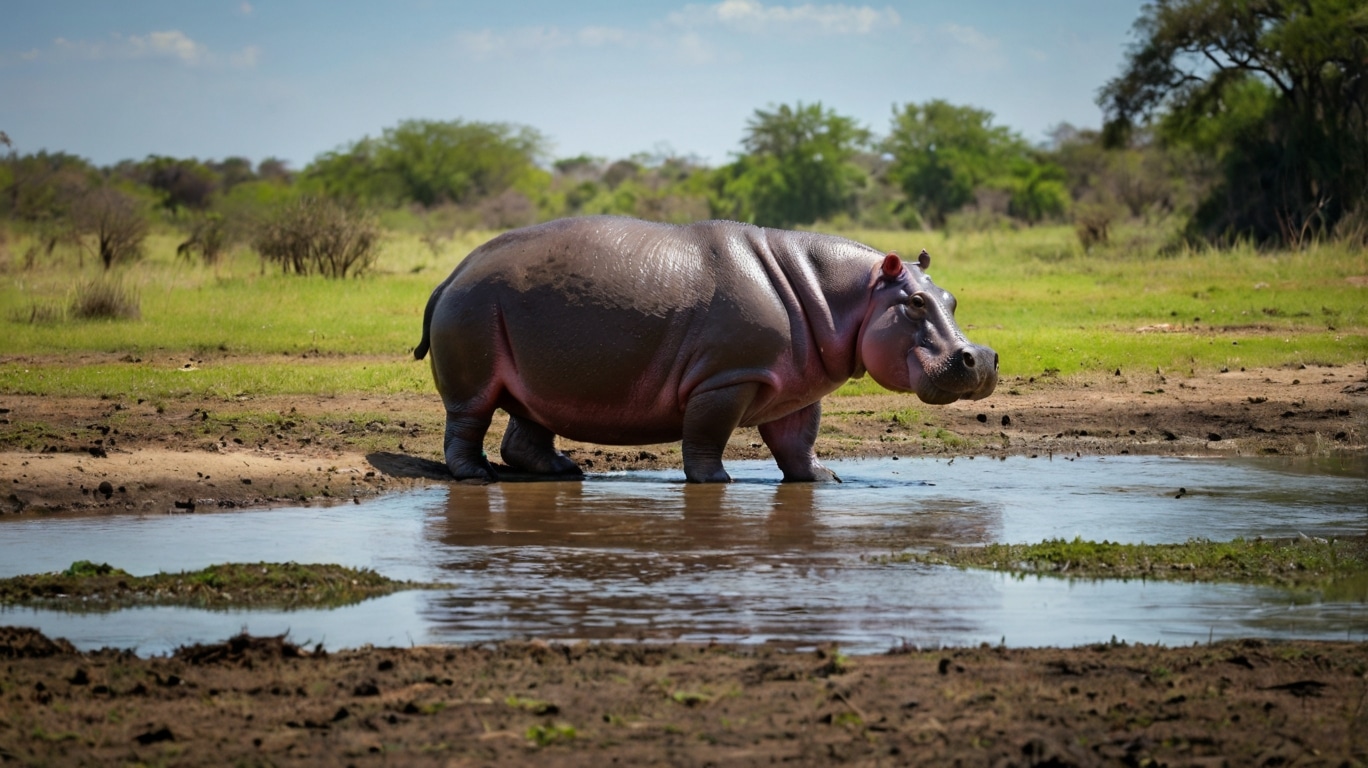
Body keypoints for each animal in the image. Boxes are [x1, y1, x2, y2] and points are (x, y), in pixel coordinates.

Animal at [415, 216, 997, 483]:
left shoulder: (797, 390)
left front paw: (824, 480)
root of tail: (451, 275)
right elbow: (707, 434)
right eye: (916, 302)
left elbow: (798, 440)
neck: (842, 293)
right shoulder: (727, 378)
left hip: (539, 375)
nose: (983, 358)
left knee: (527, 426)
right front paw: (718, 481)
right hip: (474, 360)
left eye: (951, 297)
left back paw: (565, 470)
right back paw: (478, 476)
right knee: (465, 422)